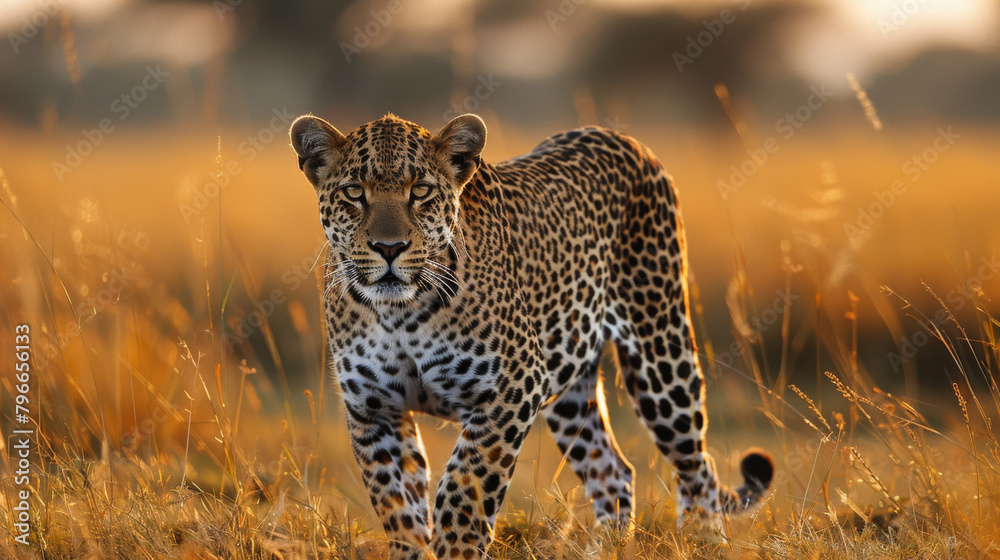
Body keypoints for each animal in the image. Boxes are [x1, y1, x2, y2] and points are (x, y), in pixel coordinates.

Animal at [289, 112, 773, 559]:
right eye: (355, 193)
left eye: (420, 191)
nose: (389, 249)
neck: (397, 313)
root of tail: (625, 138)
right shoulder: (374, 411)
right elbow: (399, 509)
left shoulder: (511, 388)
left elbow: (464, 487)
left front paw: (458, 548)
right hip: (571, 389)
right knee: (613, 472)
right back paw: (604, 549)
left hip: (661, 360)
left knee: (698, 465)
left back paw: (704, 542)